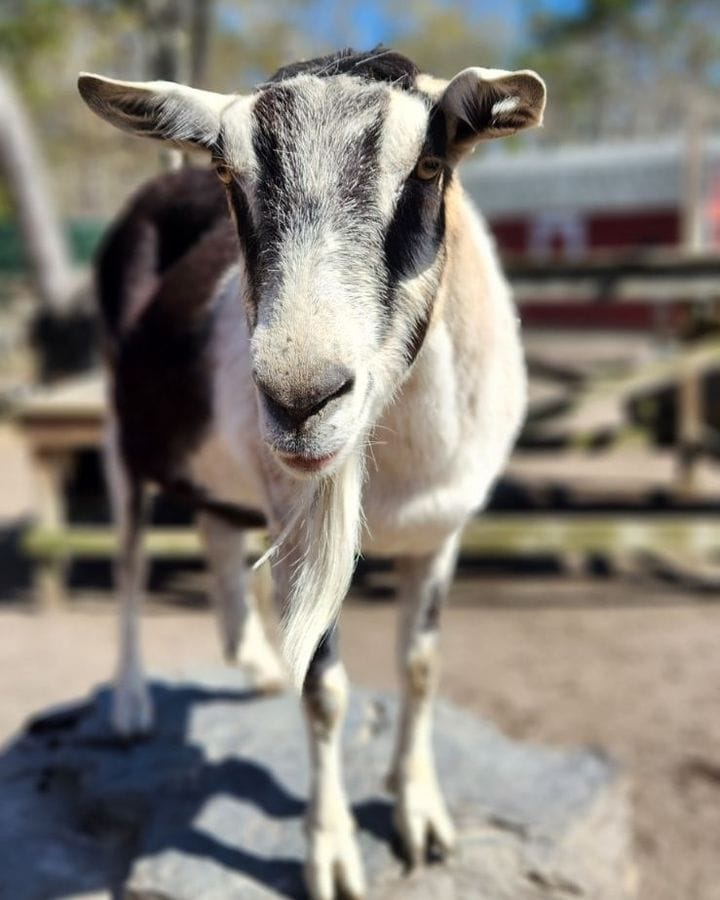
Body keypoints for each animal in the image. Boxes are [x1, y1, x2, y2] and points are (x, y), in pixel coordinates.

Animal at [78, 48, 545, 900]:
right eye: (229, 177)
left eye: (429, 166)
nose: (301, 399)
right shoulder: (302, 532)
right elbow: (326, 692)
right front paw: (331, 856)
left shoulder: (444, 531)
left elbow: (421, 666)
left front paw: (421, 818)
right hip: (120, 429)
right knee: (129, 557)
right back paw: (130, 704)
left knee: (213, 531)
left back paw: (255, 666)